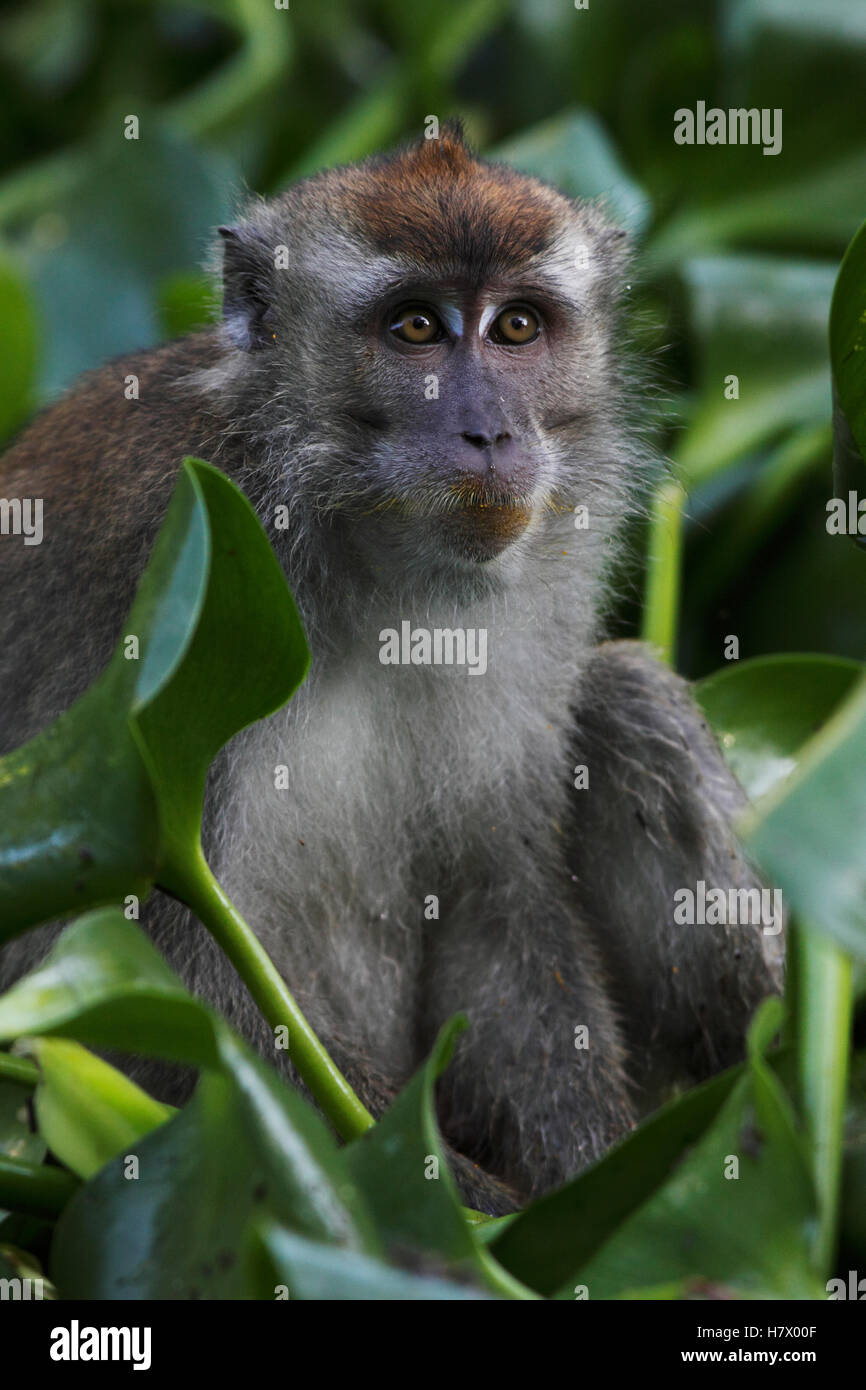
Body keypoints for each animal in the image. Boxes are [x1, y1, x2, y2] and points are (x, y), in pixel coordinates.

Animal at [0, 125, 781, 1214]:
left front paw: (588, 1196)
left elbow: (498, 905)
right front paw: (491, 1219)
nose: (491, 430)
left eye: (517, 327)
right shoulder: (158, 605)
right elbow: (162, 991)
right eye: (415, 328)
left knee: (628, 695)